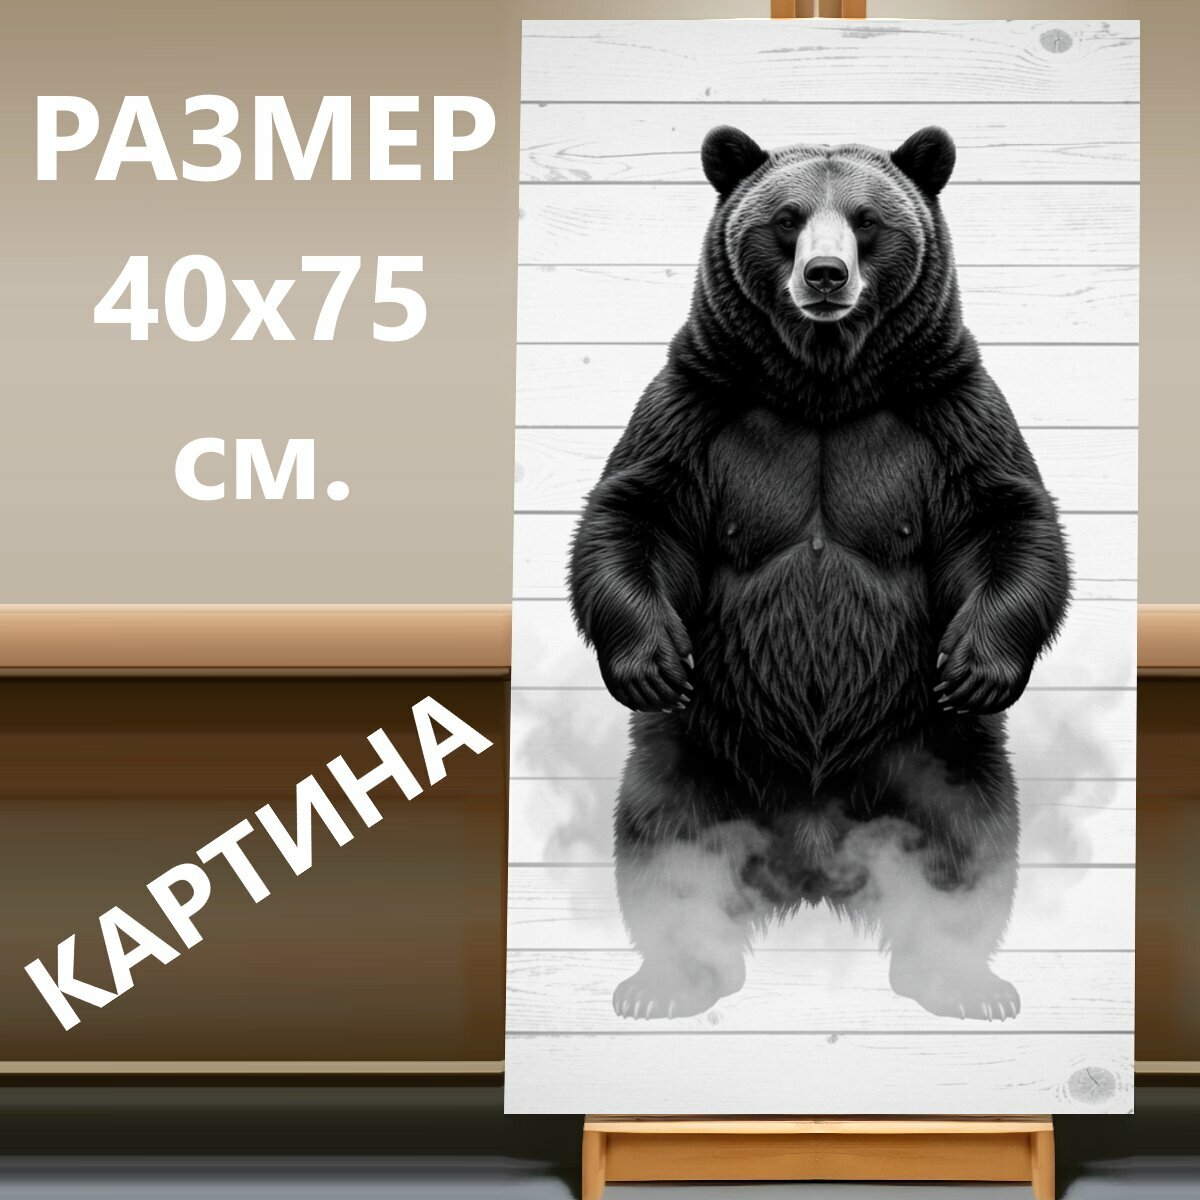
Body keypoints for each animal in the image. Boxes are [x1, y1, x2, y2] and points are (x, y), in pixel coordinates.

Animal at [567, 125, 1071, 1024]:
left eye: (868, 220)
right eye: (788, 218)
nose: (826, 275)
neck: (824, 385)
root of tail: (812, 867)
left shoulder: (947, 408)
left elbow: (1006, 515)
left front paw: (976, 665)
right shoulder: (699, 405)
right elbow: (634, 509)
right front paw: (651, 661)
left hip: (929, 752)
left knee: (971, 835)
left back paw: (959, 977)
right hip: (700, 752)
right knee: (662, 838)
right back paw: (673, 976)